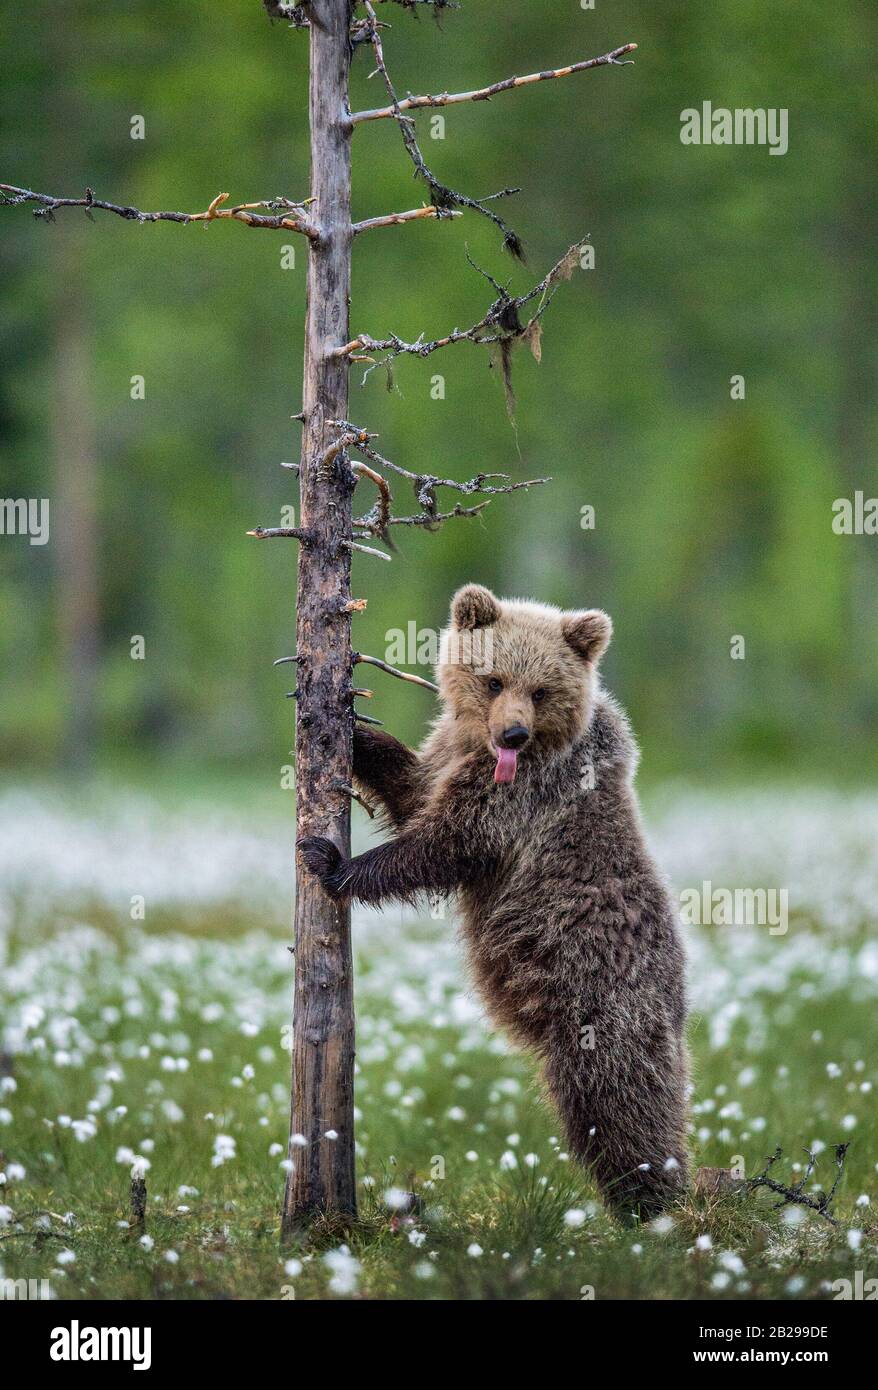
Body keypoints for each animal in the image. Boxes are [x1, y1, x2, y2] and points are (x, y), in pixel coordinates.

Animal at [299, 583, 690, 1220]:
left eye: (541, 689)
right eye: (494, 679)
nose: (514, 735)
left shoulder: (524, 798)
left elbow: (446, 843)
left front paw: (332, 861)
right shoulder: (450, 754)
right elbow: (413, 789)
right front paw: (351, 728)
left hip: (602, 1005)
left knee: (619, 1101)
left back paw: (654, 1203)